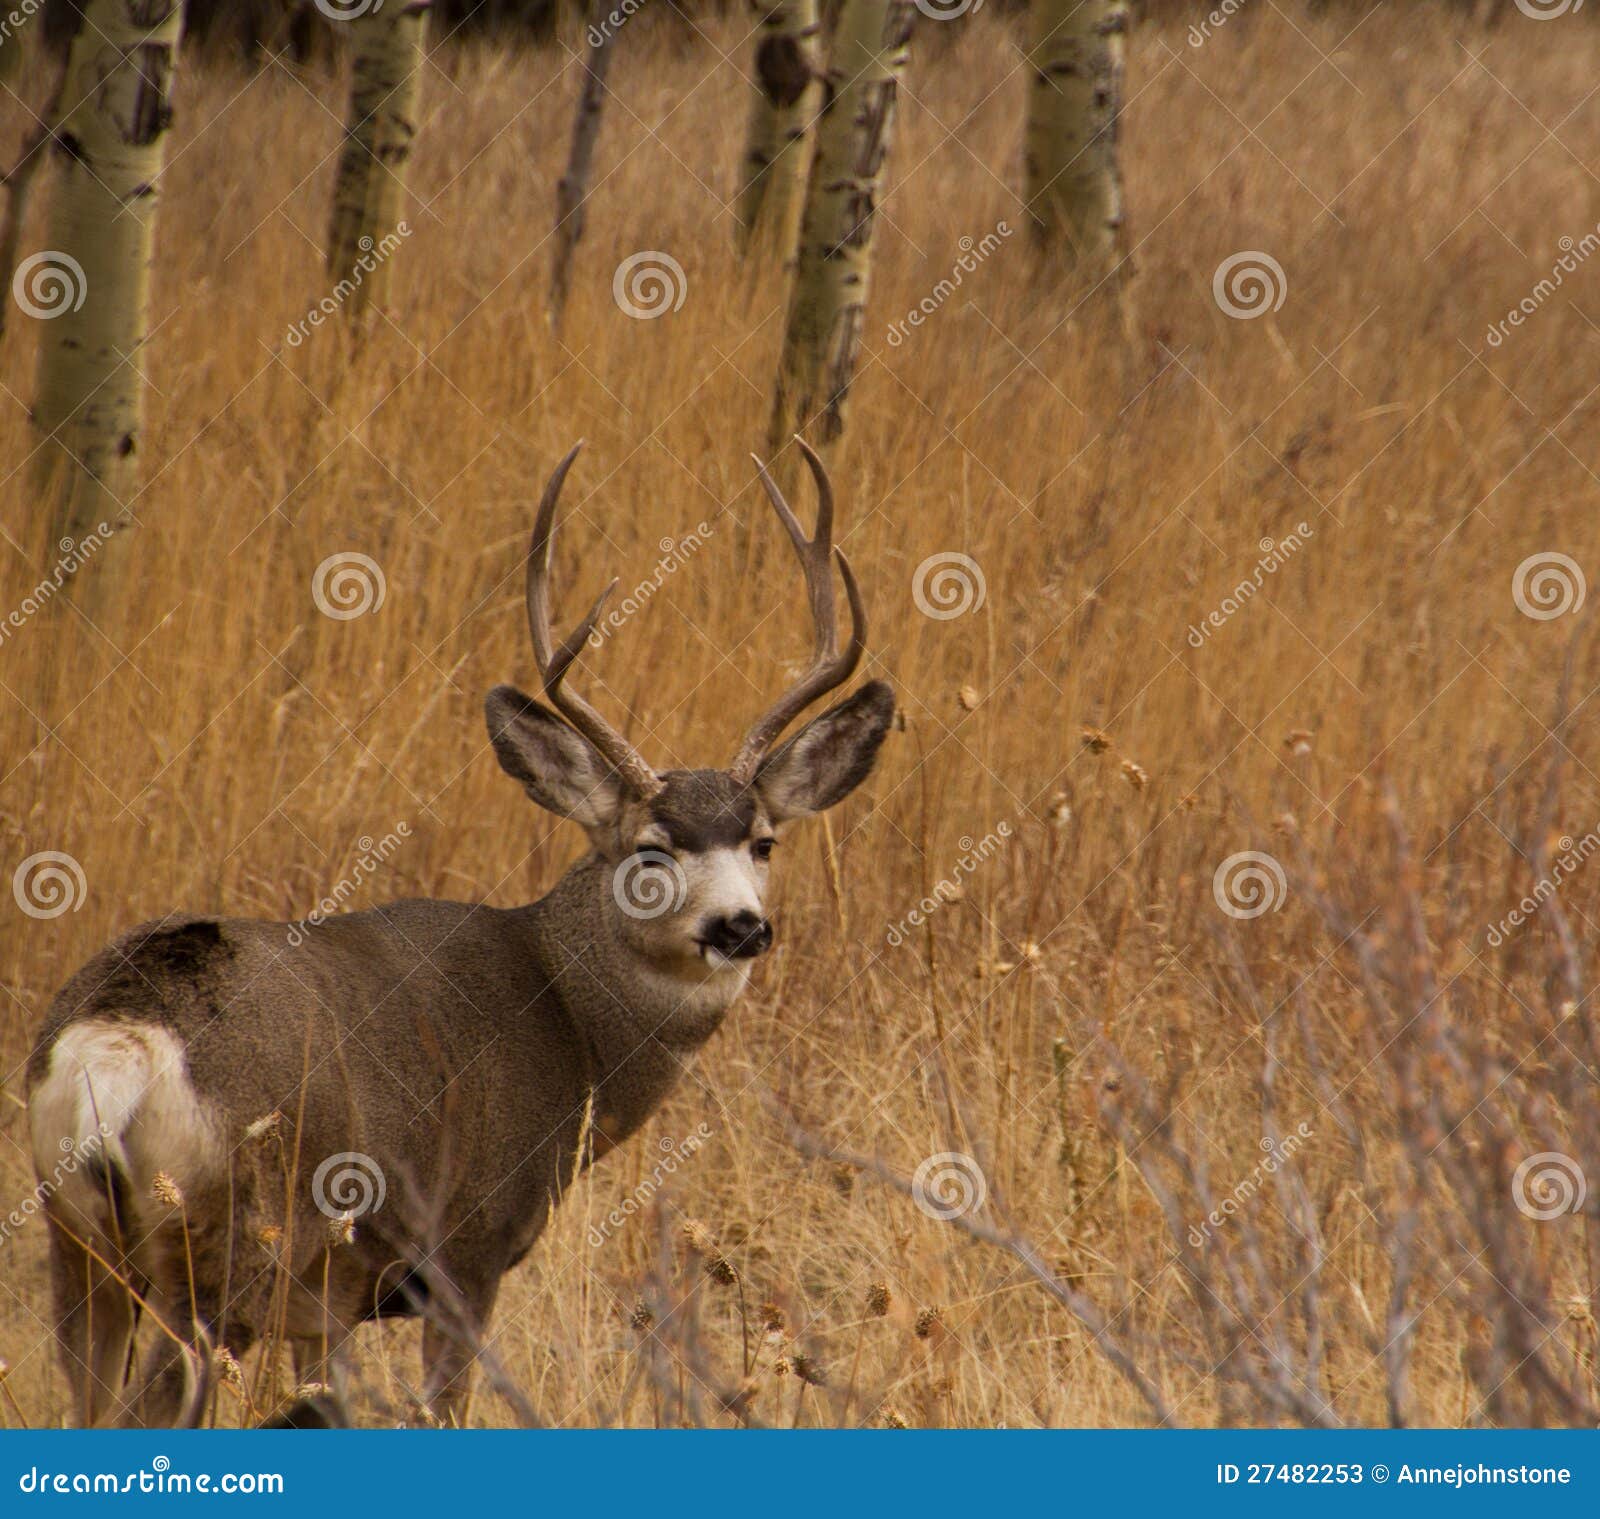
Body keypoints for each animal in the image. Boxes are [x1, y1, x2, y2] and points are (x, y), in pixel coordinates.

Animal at [26, 440, 893, 1428]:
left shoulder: (325, 1305)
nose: (741, 925)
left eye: (764, 842)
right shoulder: (467, 1249)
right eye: (650, 849)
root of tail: (116, 1040)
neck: (571, 1023)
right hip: (231, 1241)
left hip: (74, 1239)